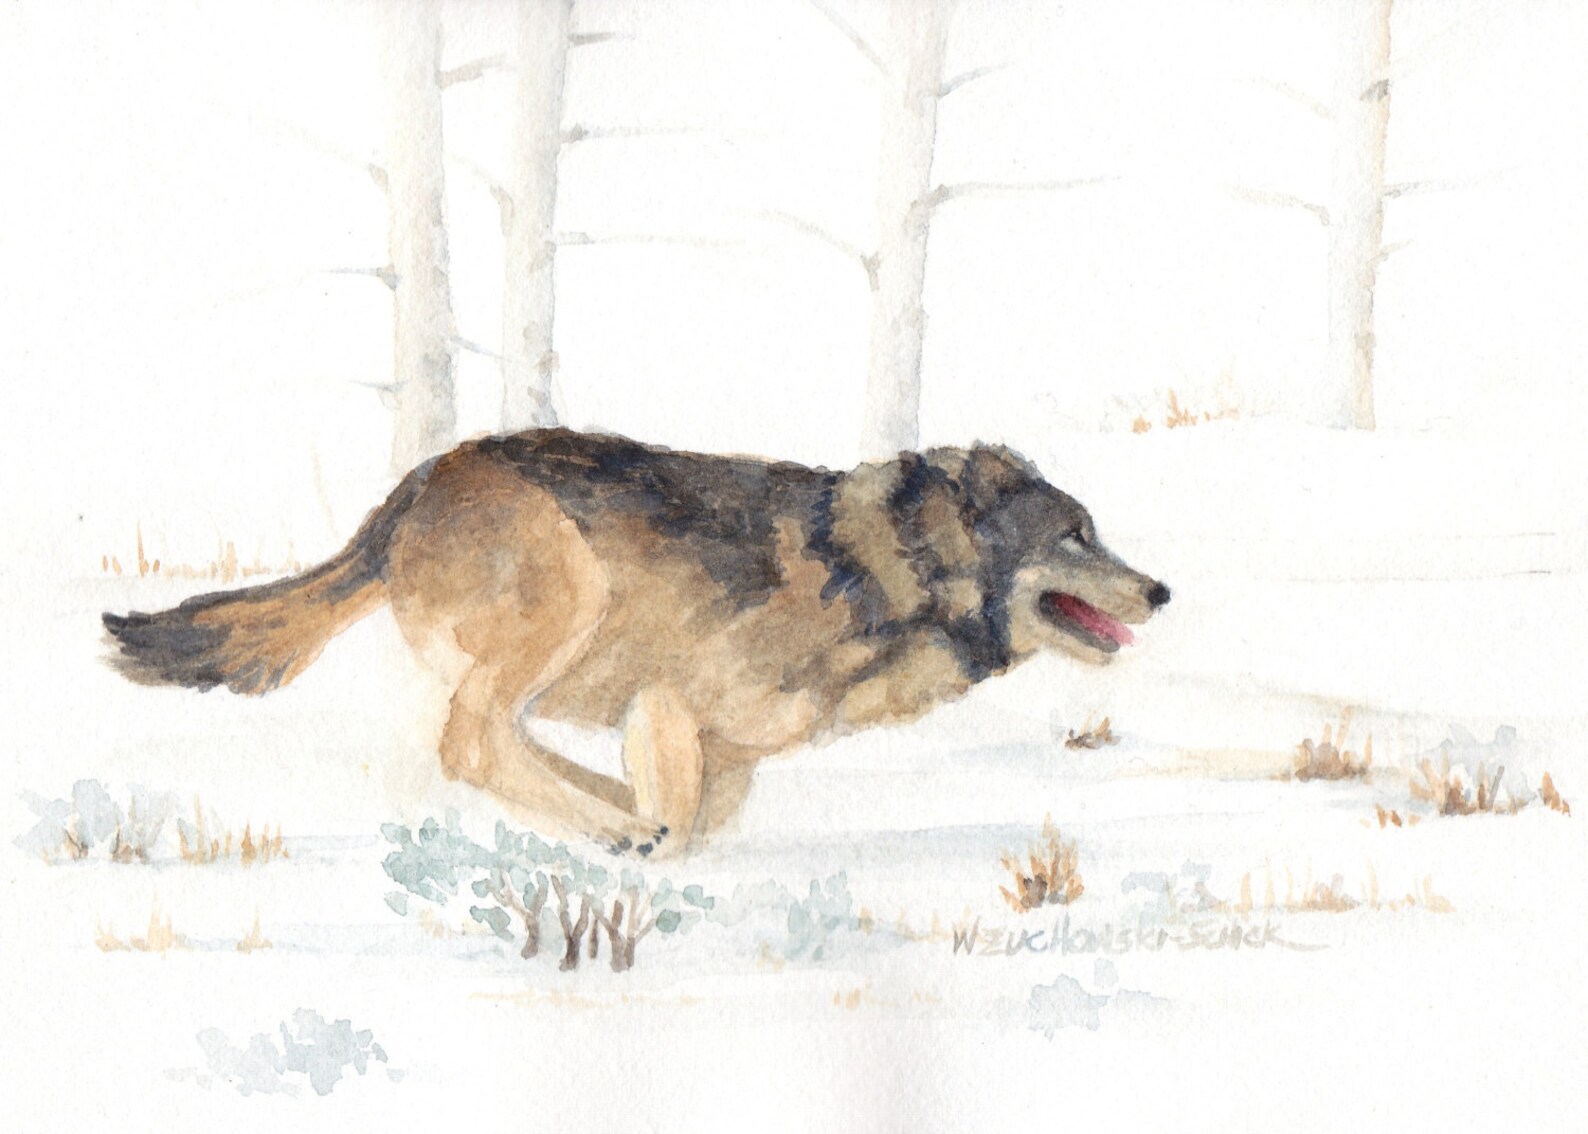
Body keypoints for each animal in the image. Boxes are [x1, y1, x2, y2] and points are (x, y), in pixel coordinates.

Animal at [103, 428, 1169, 856]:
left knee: (497, 740)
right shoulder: (673, 702)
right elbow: (683, 813)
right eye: (1074, 535)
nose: (1162, 589)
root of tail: (411, 489)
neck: (900, 571)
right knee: (468, 740)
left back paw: (611, 814)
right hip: (569, 594)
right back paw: (612, 826)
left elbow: (702, 819)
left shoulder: (723, 750)